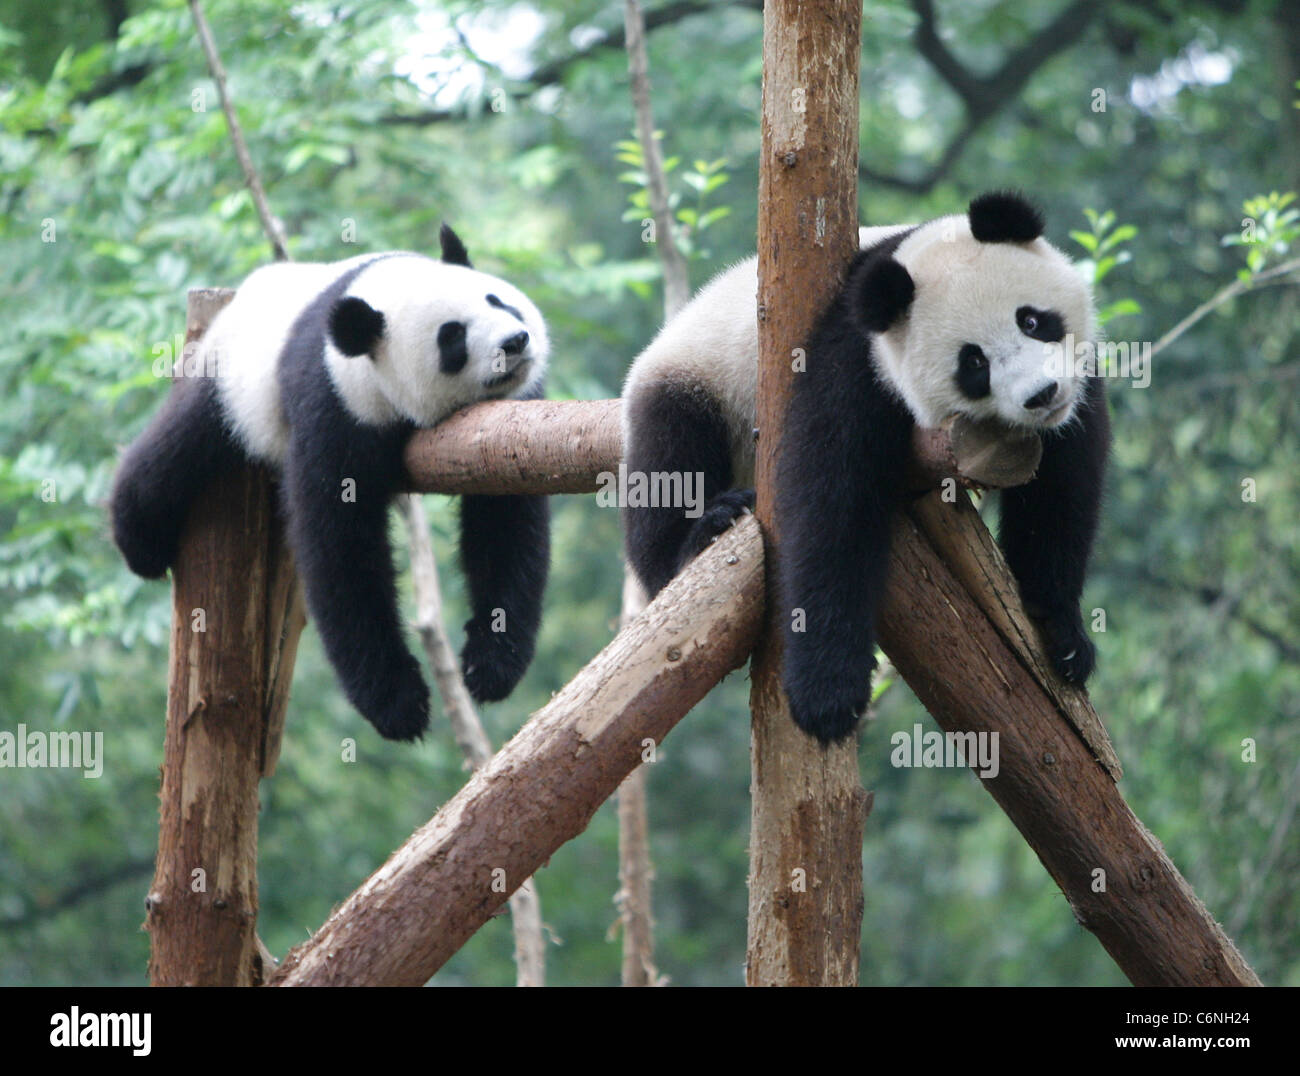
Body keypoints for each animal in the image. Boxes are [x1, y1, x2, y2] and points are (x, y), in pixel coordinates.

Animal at [110, 226, 550, 743]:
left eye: (498, 301)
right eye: (453, 337)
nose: (516, 341)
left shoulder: (507, 421)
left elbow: (505, 523)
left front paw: (492, 664)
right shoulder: (333, 402)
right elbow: (340, 546)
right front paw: (398, 703)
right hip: (229, 382)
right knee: (173, 452)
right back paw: (140, 545)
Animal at [622, 192, 1110, 744]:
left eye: (1031, 320)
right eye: (974, 364)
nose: (1041, 395)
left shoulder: (1074, 397)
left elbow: (1063, 489)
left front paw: (1063, 635)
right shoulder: (854, 362)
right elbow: (829, 508)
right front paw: (827, 696)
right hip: (694, 377)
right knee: (670, 460)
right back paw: (705, 530)